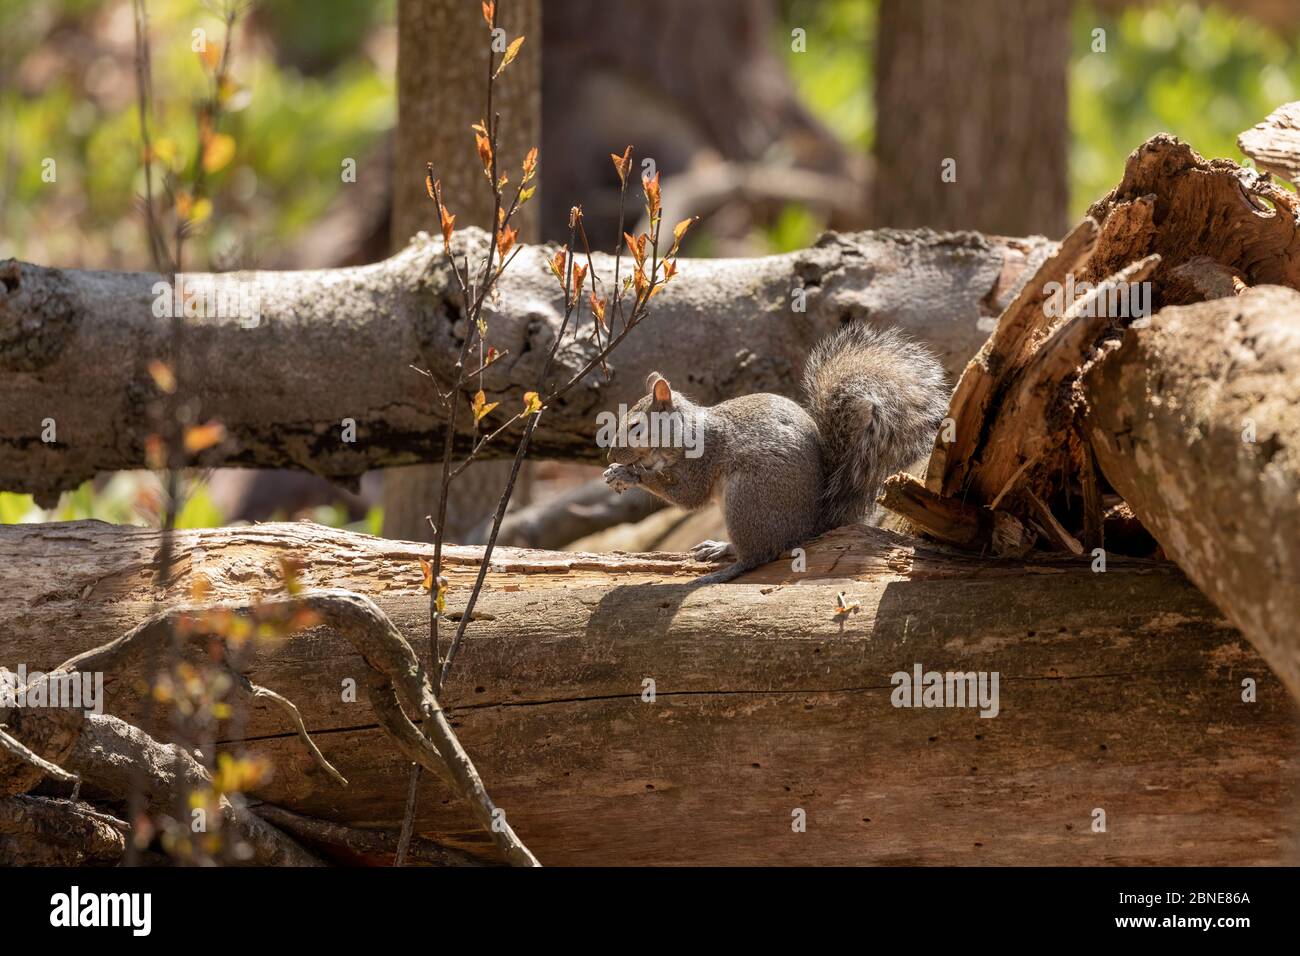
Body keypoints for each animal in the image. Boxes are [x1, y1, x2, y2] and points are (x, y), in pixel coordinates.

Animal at [602, 323, 948, 584]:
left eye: (635, 427)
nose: (610, 457)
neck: (684, 432)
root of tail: (807, 528)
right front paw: (617, 472)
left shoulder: (702, 459)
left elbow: (687, 495)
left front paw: (628, 474)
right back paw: (722, 548)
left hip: (747, 499)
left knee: (759, 555)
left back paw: (725, 569)